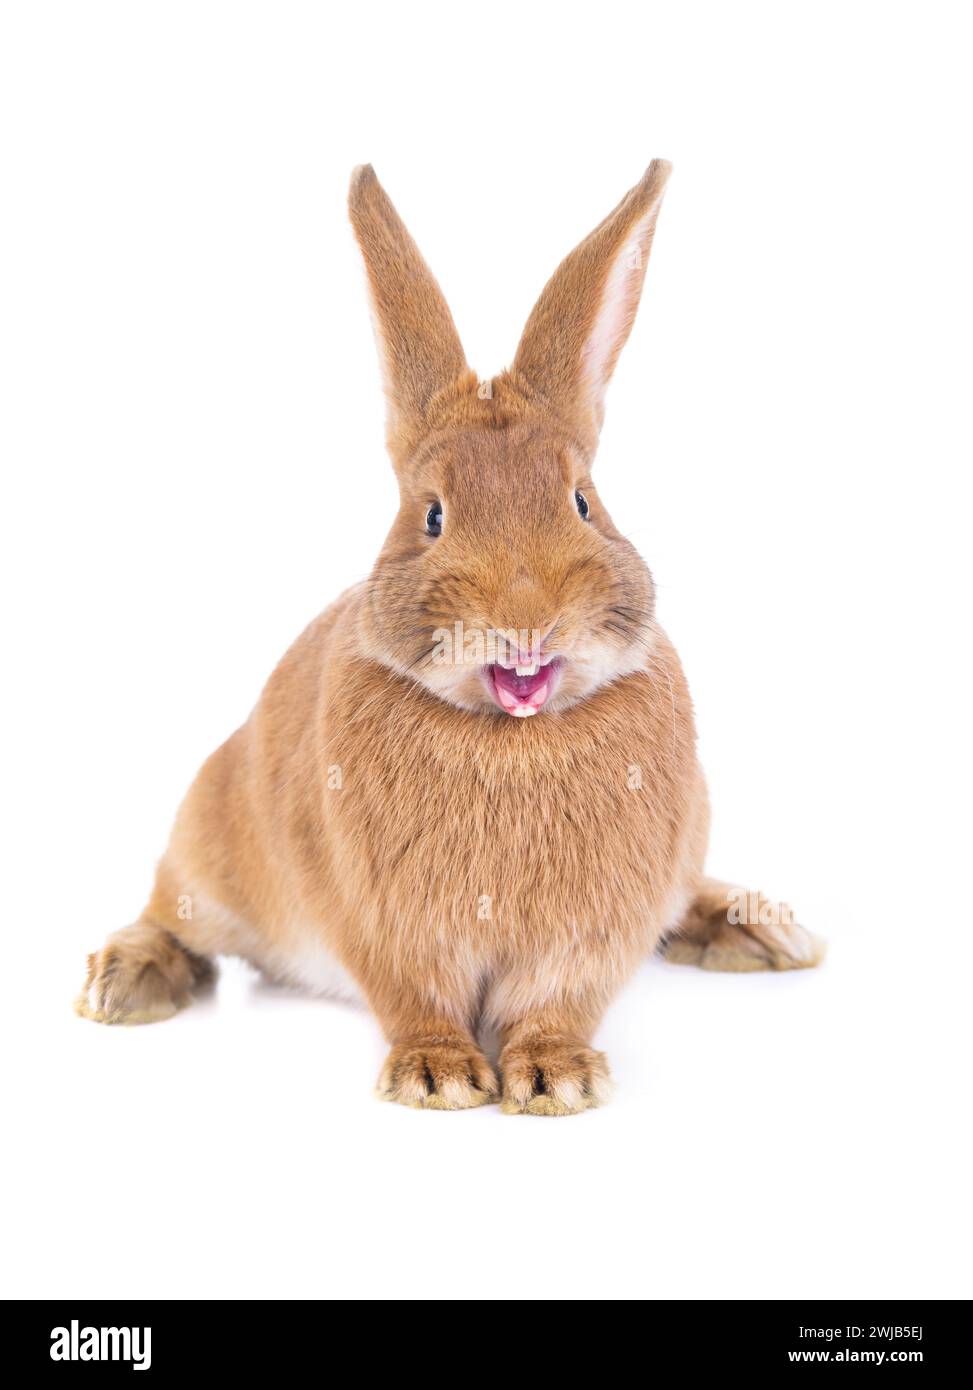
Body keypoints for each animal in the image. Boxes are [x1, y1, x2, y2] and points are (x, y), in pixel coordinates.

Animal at [76, 161, 824, 1114]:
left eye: (583, 501)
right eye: (432, 516)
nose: (525, 617)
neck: (513, 736)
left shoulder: (584, 939)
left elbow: (557, 1005)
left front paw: (557, 1077)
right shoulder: (386, 926)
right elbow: (415, 999)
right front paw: (438, 1076)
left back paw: (759, 931)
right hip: (209, 842)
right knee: (172, 913)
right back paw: (124, 984)